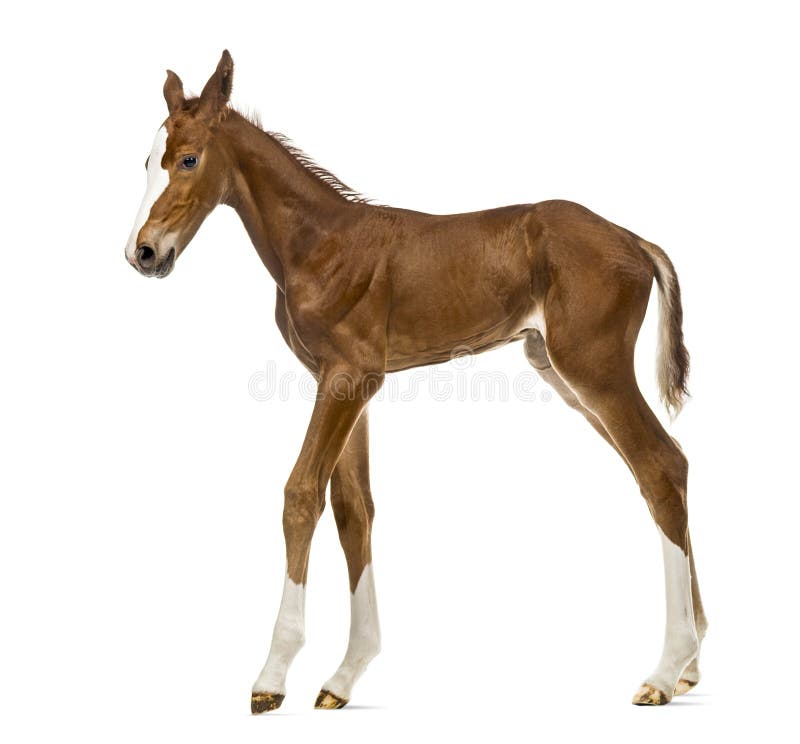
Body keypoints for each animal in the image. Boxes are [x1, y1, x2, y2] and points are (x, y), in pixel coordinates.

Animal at [124, 51, 707, 712]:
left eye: (189, 159)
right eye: (147, 161)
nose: (143, 253)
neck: (319, 244)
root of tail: (635, 240)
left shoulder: (347, 377)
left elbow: (302, 495)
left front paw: (272, 676)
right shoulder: (346, 382)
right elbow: (354, 509)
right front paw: (344, 675)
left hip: (594, 368)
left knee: (658, 467)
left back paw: (664, 670)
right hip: (562, 373)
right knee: (670, 463)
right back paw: (689, 667)